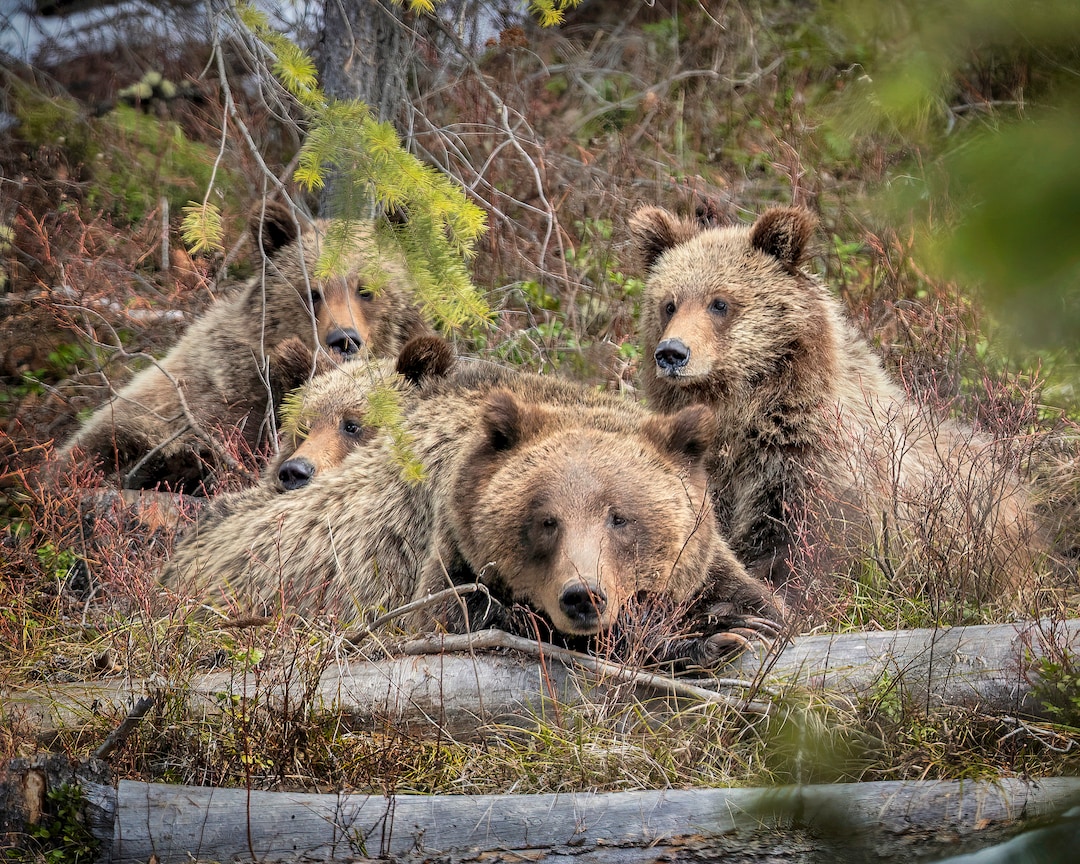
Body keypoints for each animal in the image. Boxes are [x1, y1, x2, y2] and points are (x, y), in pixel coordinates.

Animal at [164, 362, 783, 667]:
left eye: (620, 517)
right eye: (546, 519)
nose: (584, 597)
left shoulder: (703, 555)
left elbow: (755, 600)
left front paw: (738, 625)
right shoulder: (445, 558)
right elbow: (474, 621)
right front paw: (704, 639)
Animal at [628, 203, 1045, 617]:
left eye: (720, 302)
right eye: (669, 304)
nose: (672, 353)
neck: (743, 415)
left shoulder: (808, 468)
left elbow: (800, 548)